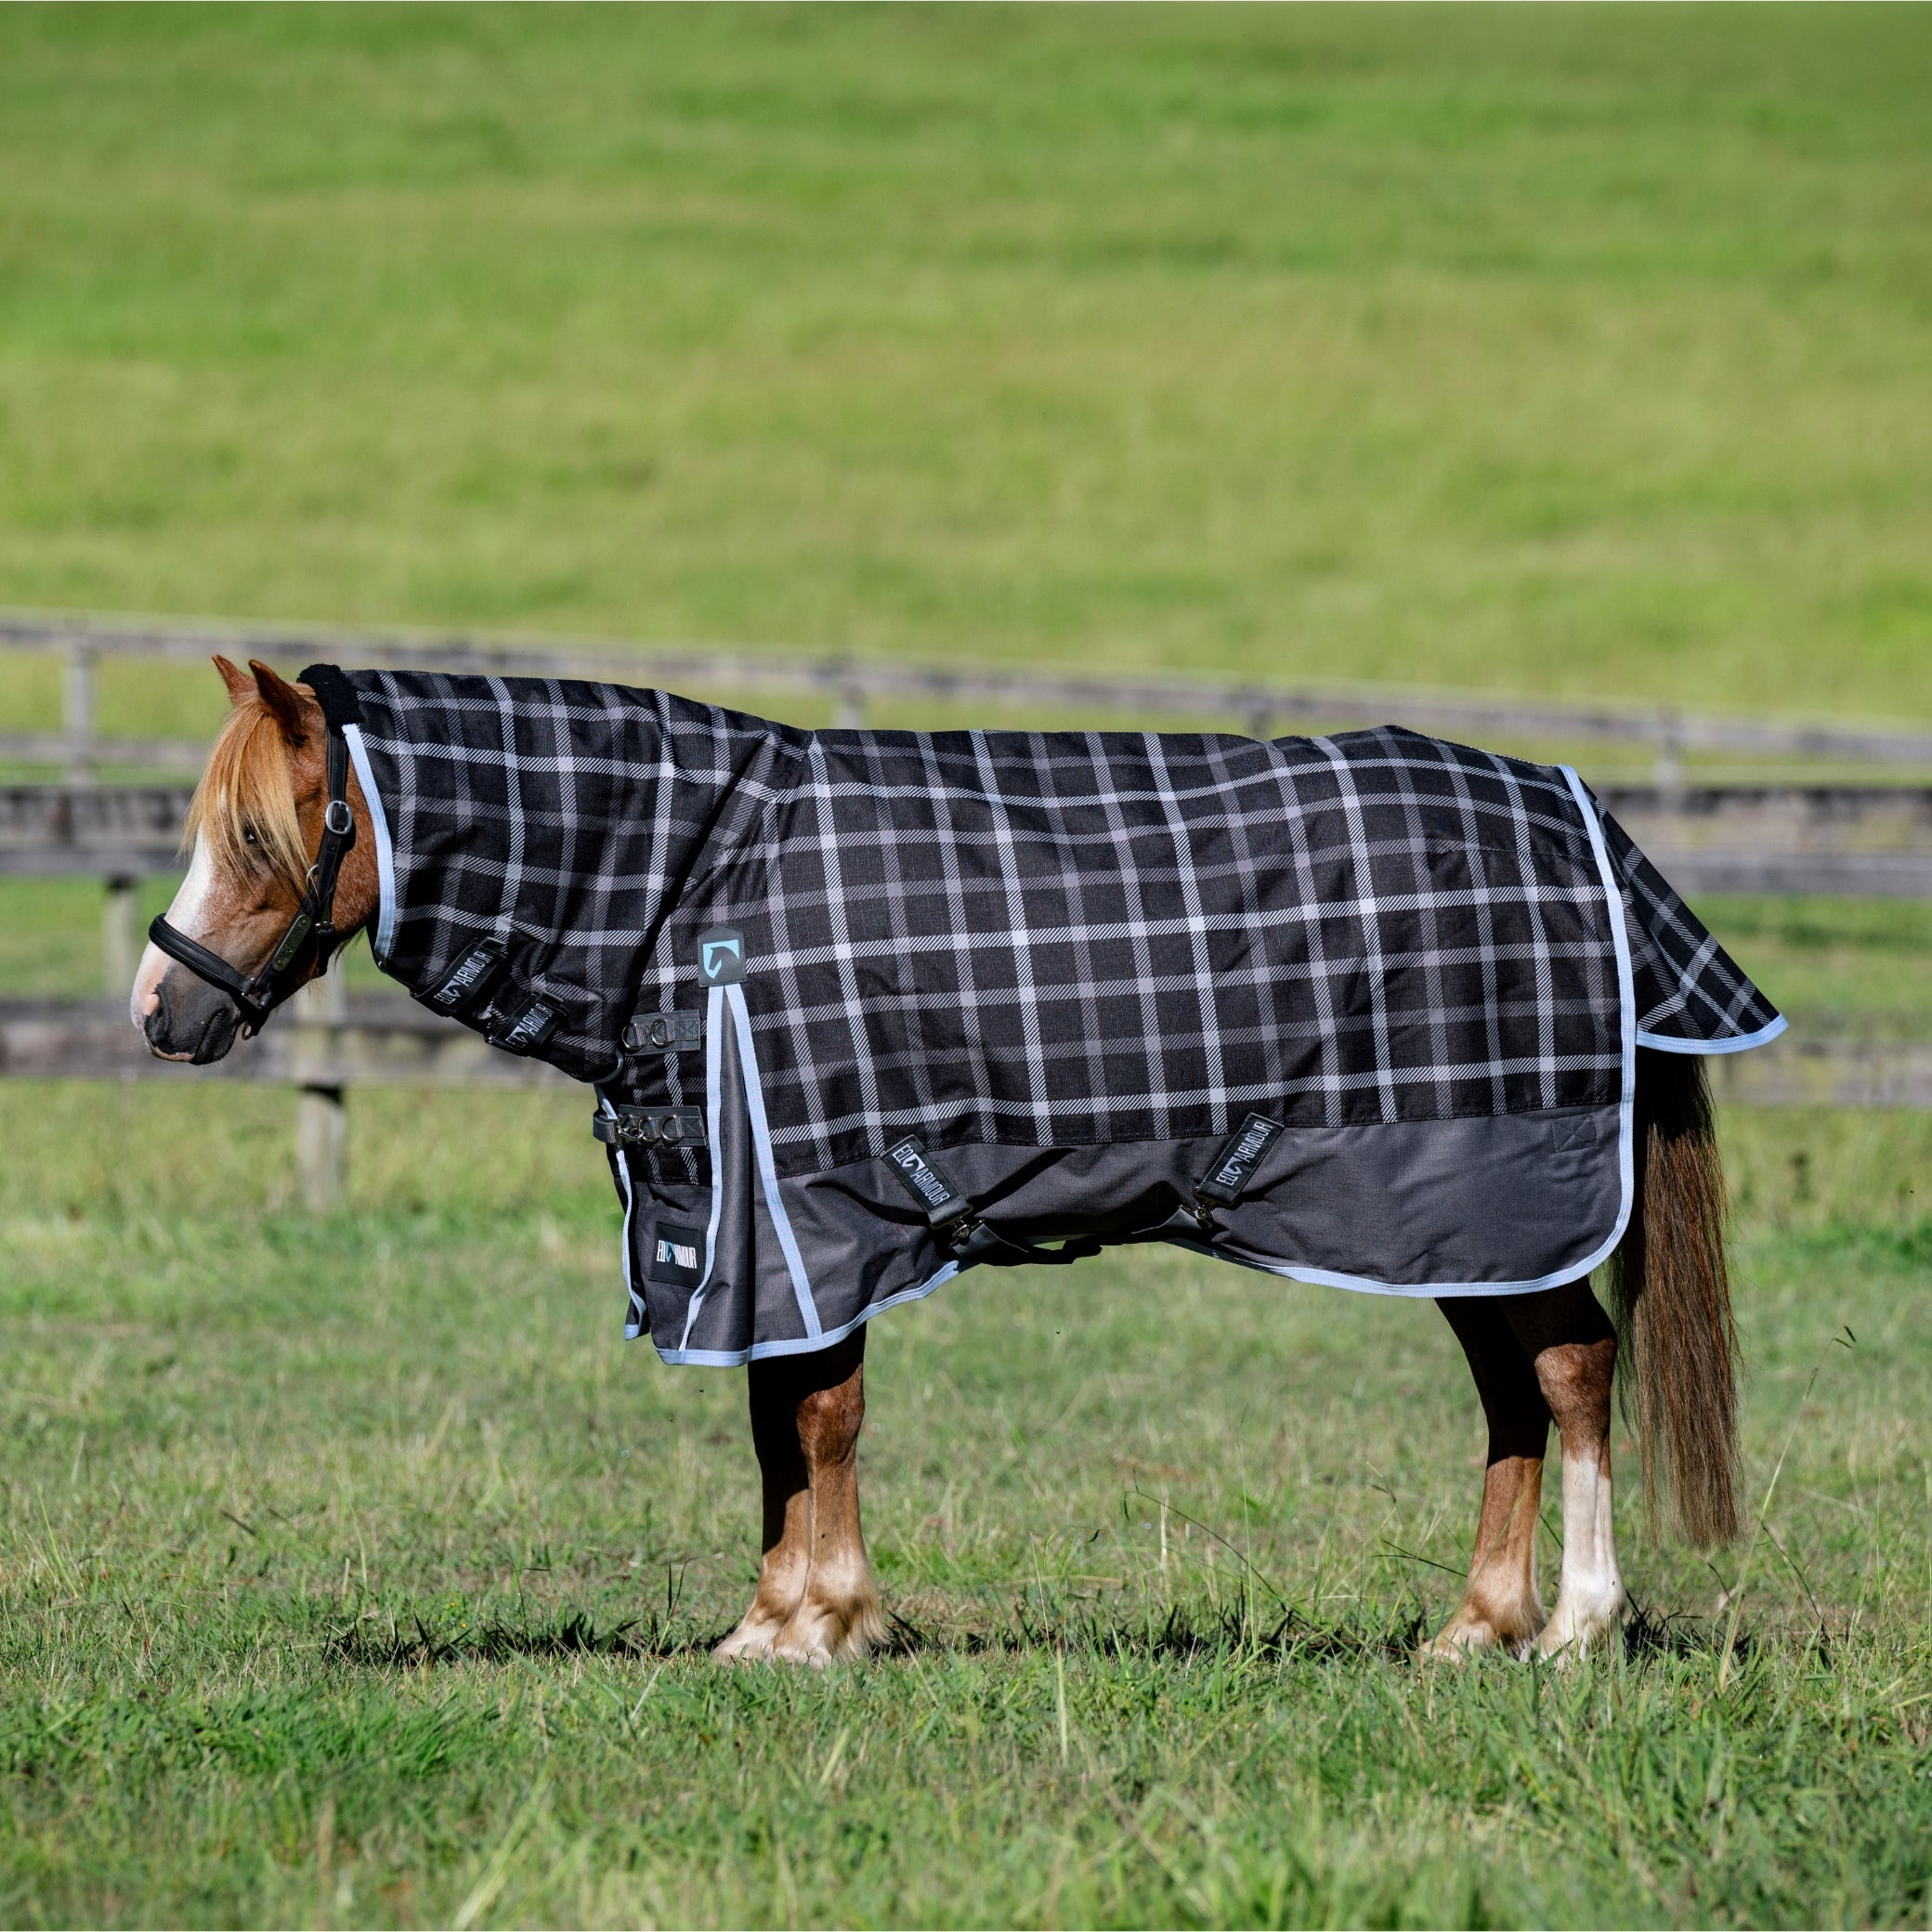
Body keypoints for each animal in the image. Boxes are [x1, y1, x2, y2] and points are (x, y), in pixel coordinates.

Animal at [134, 656, 1773, 1665]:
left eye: (263, 836)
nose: (160, 1011)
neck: (700, 882)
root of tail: (1577, 816)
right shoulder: (764, 1229)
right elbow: (776, 1419)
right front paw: (777, 1623)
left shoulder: (816, 1209)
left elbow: (820, 1418)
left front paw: (819, 1627)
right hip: (1455, 1226)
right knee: (1515, 1393)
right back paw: (1476, 1627)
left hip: (1495, 1197)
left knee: (1572, 1372)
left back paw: (1576, 1630)